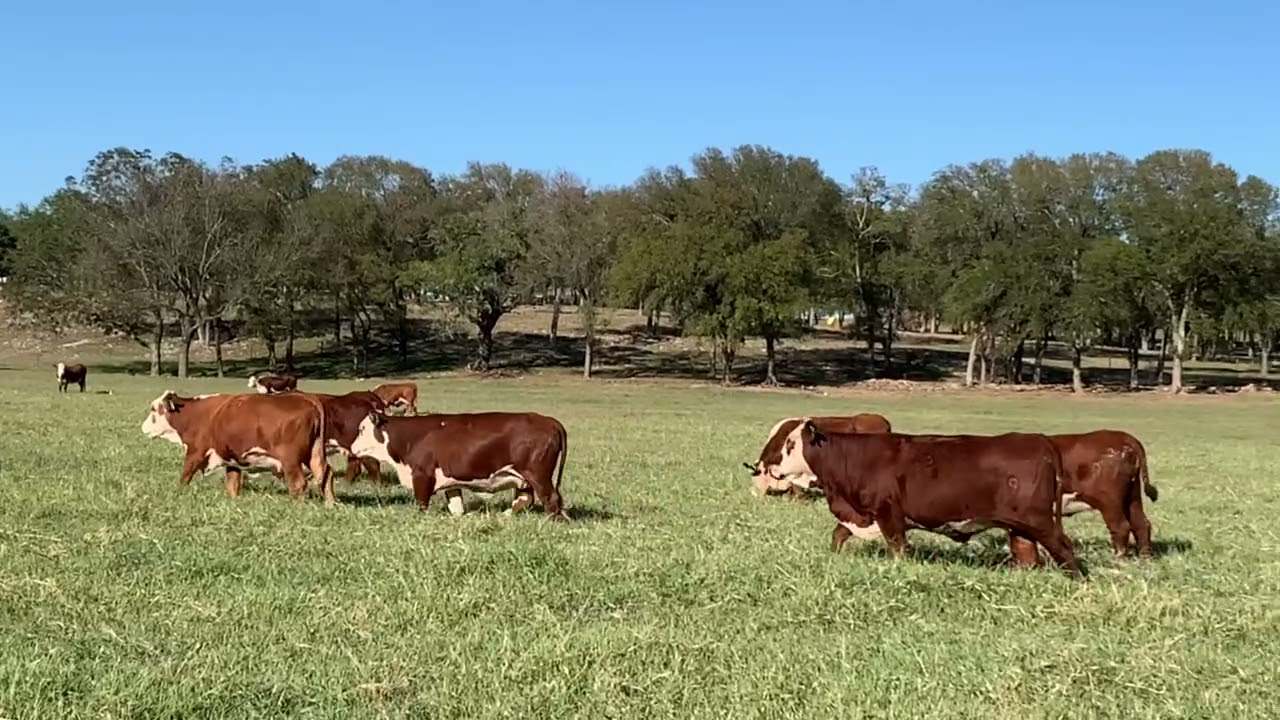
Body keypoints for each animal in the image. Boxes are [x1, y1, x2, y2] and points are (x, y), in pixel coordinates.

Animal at [140, 390, 335, 506]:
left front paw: (178, 494)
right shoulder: (231, 460)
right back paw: (330, 504)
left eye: (153, 409)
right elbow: (232, 484)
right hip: (314, 455)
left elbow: (185, 477)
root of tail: (306, 398)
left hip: (291, 460)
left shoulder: (195, 452)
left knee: (298, 483)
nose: (143, 427)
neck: (195, 414)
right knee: (326, 474)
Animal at [350, 410, 569, 519]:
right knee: (525, 499)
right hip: (523, 478)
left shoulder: (422, 475)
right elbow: (456, 507)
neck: (409, 438)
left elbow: (421, 503)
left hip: (537, 474)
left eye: (361, 429)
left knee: (551, 498)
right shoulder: (450, 483)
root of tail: (549, 421)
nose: (351, 447)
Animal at [774, 419, 1082, 578]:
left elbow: (897, 547)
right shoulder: (861, 514)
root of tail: (1039, 440)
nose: (774, 467)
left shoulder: (888, 513)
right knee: (1028, 556)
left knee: (1065, 550)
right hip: (1020, 526)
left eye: (790, 444)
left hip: (1041, 521)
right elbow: (838, 534)